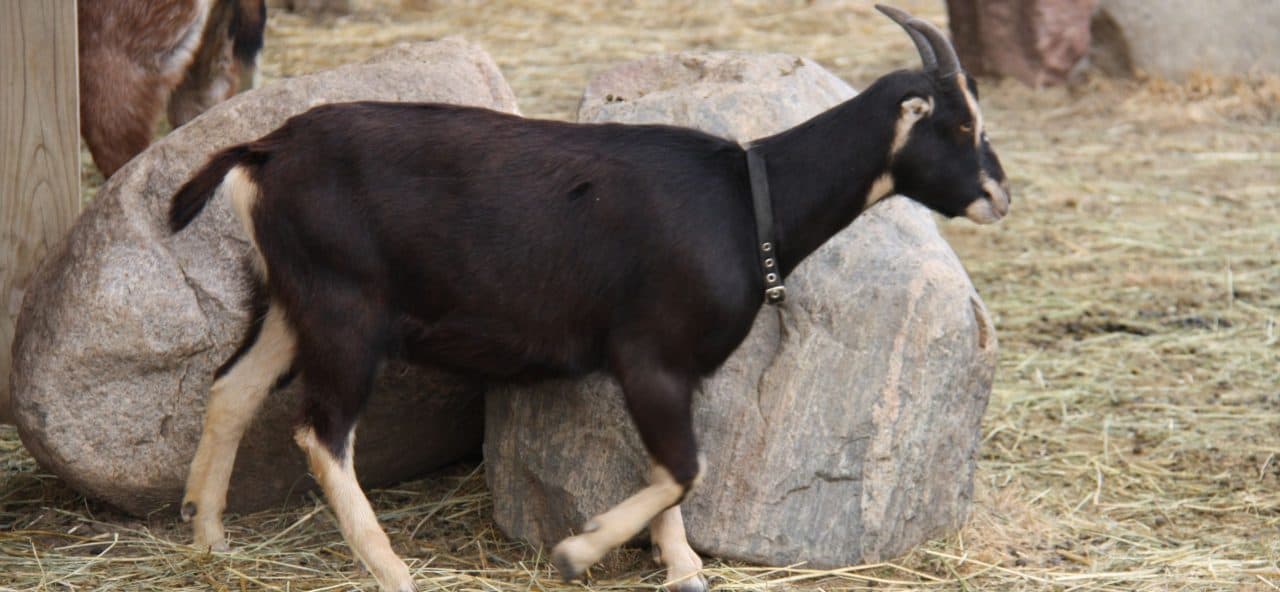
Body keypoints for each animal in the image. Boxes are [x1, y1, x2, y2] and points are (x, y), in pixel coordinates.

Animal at [167, 6, 1009, 591]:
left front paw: (683, 567)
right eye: (960, 124)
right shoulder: (648, 356)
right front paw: (579, 551)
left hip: (295, 300)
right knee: (322, 432)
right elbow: (683, 468)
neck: (747, 200)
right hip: (348, 313)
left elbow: (674, 467)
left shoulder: (676, 373)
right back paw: (392, 571)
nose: (999, 194)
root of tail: (266, 150)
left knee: (233, 390)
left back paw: (208, 536)